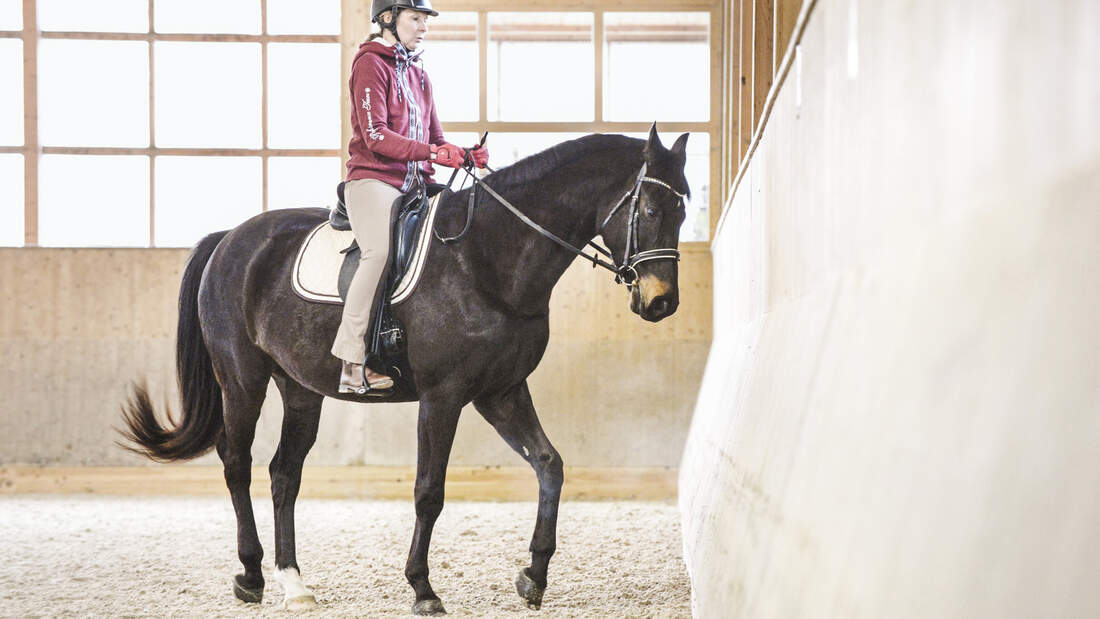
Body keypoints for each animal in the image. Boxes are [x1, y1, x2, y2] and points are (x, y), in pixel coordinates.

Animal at [119, 125, 691, 614]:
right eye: (651, 207)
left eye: (684, 210)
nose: (662, 302)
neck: (487, 258)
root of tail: (231, 238)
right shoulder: (444, 396)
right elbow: (429, 491)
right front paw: (422, 587)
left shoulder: (501, 391)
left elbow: (550, 466)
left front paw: (534, 576)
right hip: (242, 379)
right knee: (237, 463)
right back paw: (252, 575)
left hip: (300, 388)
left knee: (284, 473)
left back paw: (293, 582)